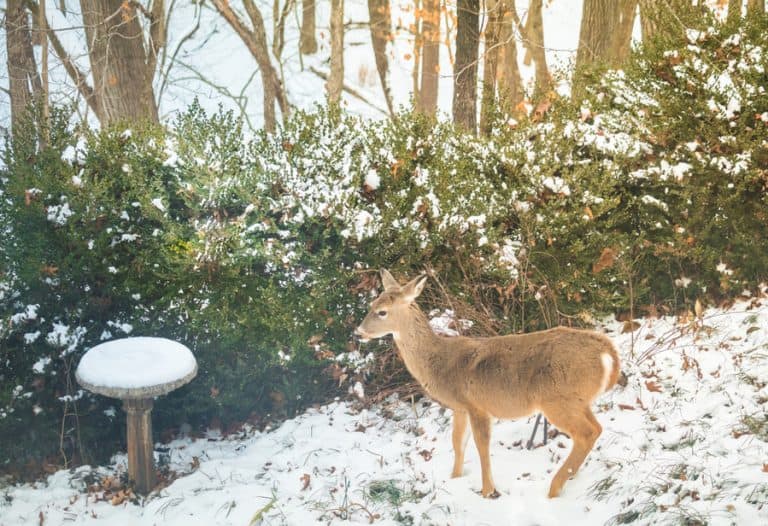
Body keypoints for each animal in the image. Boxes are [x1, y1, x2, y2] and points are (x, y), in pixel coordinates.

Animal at [355, 270, 621, 499]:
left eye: (382, 312)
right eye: (371, 305)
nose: (358, 332)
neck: (438, 361)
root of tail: (608, 353)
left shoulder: (476, 405)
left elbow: (481, 446)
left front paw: (487, 491)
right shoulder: (459, 407)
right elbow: (458, 443)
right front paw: (455, 479)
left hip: (557, 399)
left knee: (586, 433)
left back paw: (554, 489)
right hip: (579, 400)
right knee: (596, 428)